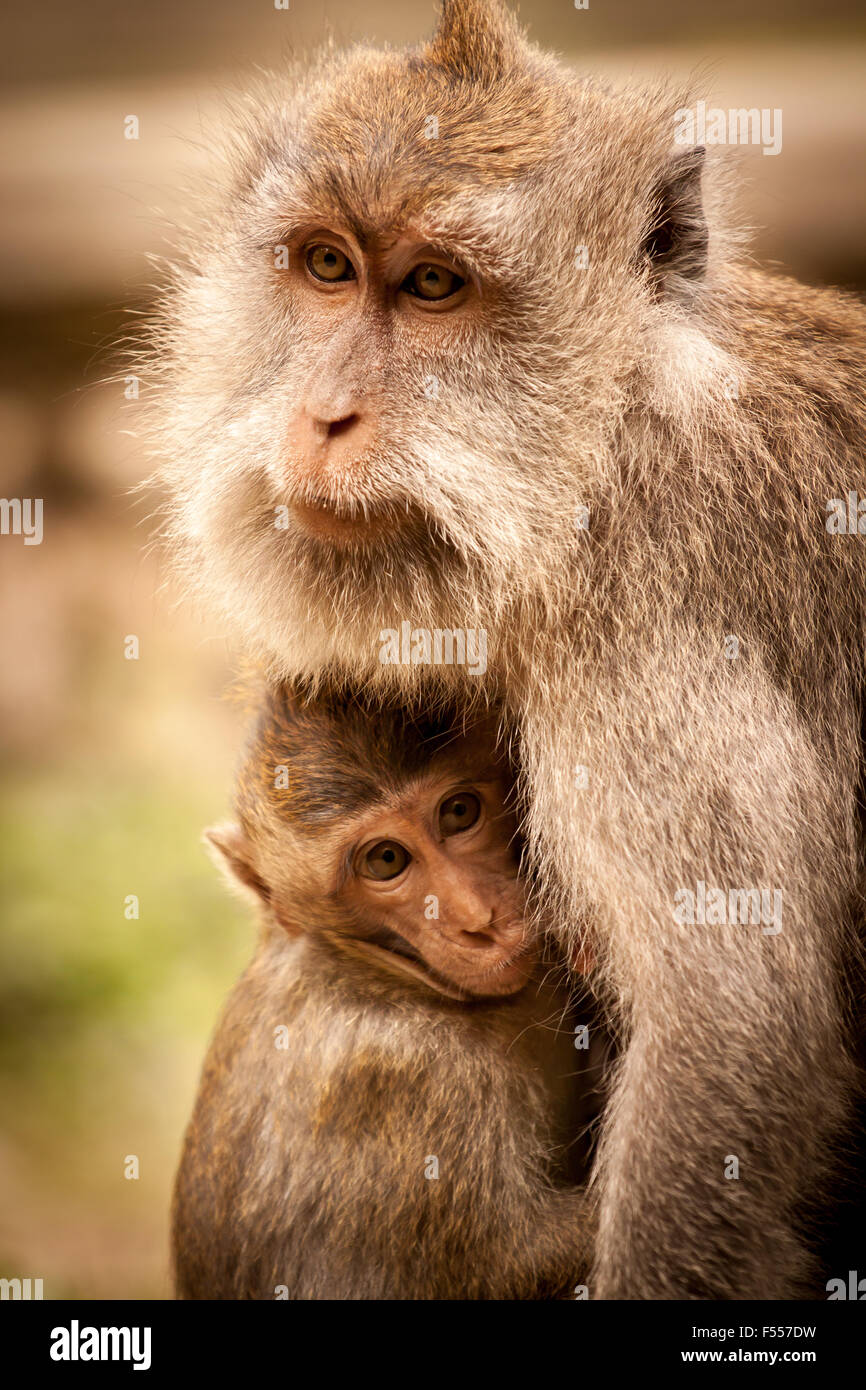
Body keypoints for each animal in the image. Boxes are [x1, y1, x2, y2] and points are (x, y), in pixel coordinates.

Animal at [172, 684, 604, 1300]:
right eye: (386, 860)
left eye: (459, 812)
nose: (480, 919)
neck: (375, 969)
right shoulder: (406, 1075)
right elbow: (509, 1262)